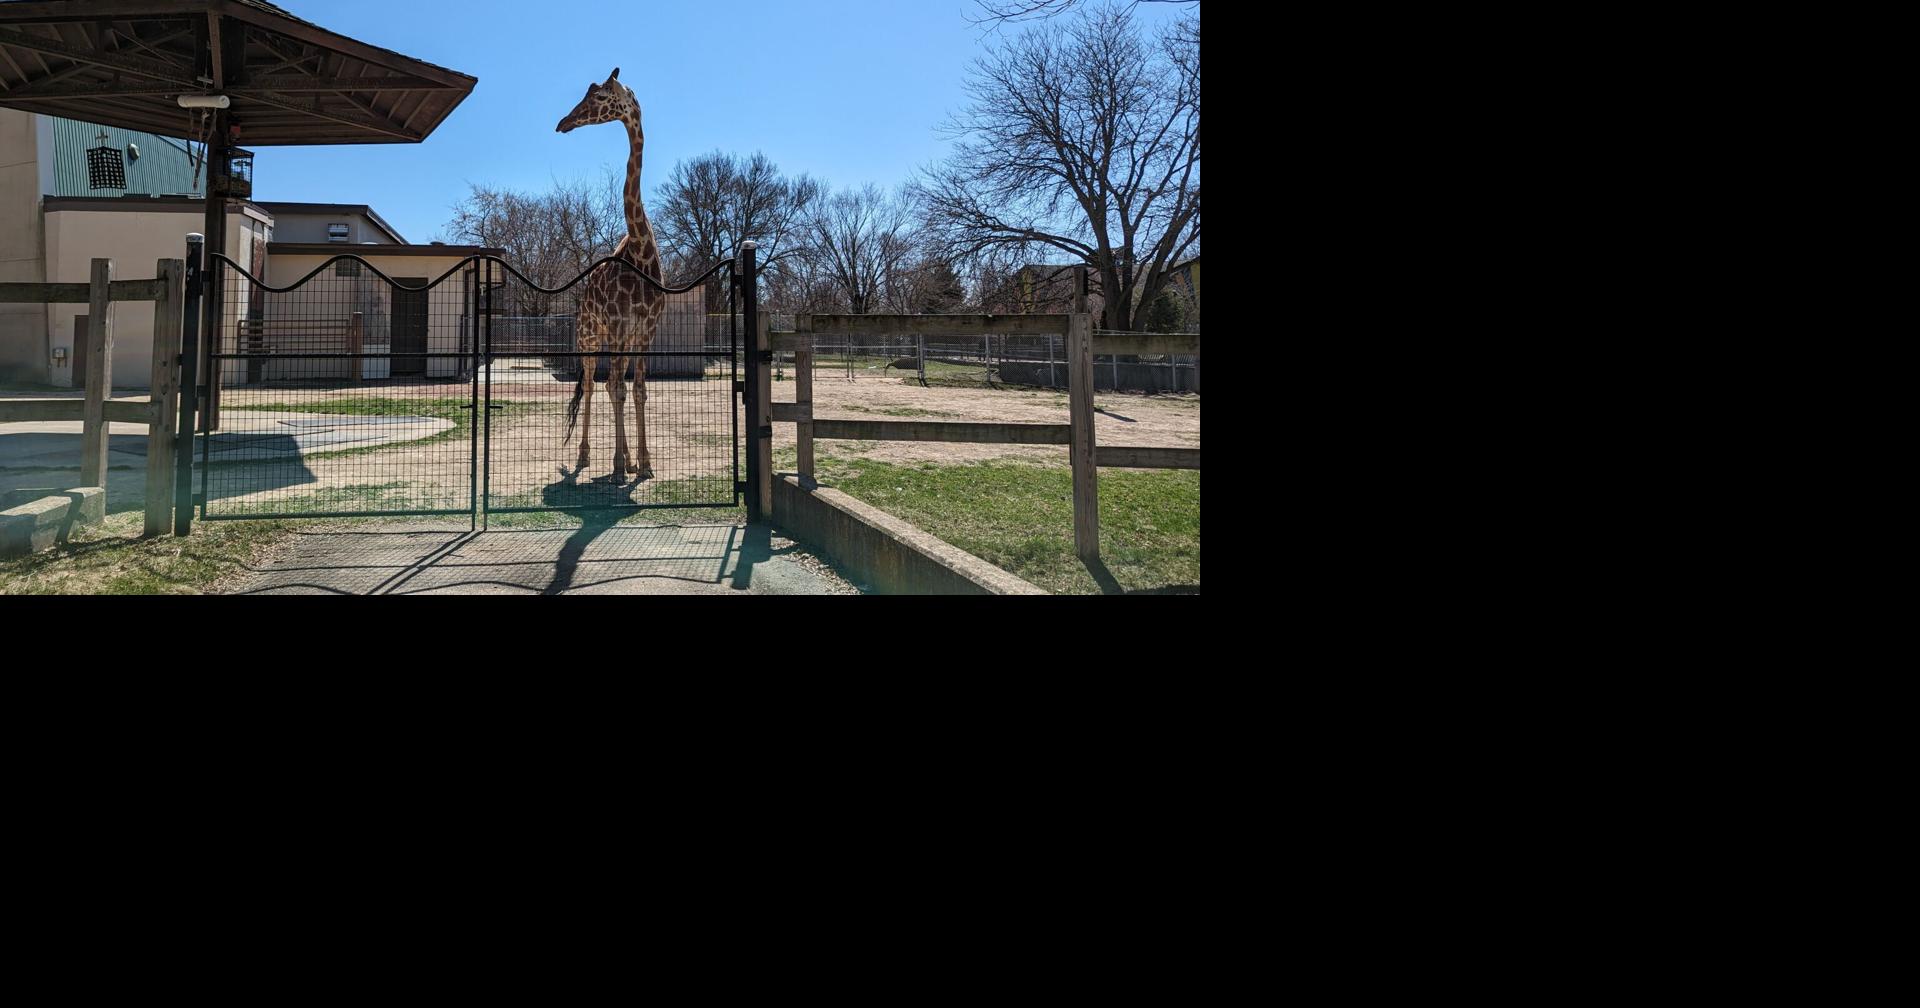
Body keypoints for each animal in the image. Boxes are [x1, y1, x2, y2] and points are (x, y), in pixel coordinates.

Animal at [557, 67, 663, 480]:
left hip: (617, 339)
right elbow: (617, 388)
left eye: (600, 97)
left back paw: (628, 458)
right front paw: (619, 467)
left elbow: (638, 389)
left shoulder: (645, 329)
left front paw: (644, 463)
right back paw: (586, 455)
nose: (563, 122)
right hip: (588, 336)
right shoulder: (618, 325)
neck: (641, 250)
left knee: (610, 382)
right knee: (591, 381)